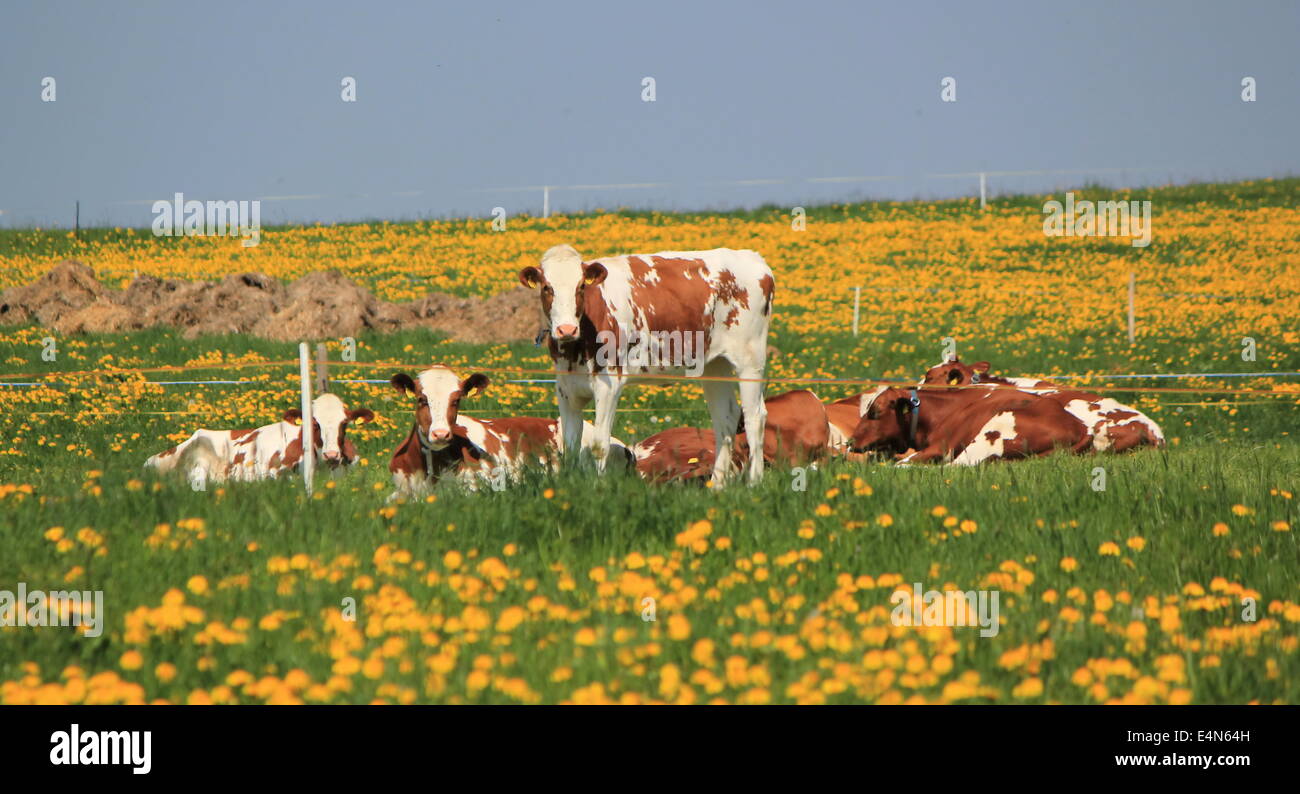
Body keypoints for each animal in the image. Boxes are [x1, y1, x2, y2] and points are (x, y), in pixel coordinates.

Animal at [519, 244, 774, 485]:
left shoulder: (608, 385)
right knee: (726, 418)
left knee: (754, 417)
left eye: (581, 286)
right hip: (715, 364)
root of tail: (752, 257)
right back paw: (718, 485)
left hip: (750, 360)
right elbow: (570, 445)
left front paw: (597, 487)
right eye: (547, 288)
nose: (566, 329)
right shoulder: (565, 388)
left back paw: (754, 482)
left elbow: (600, 444)